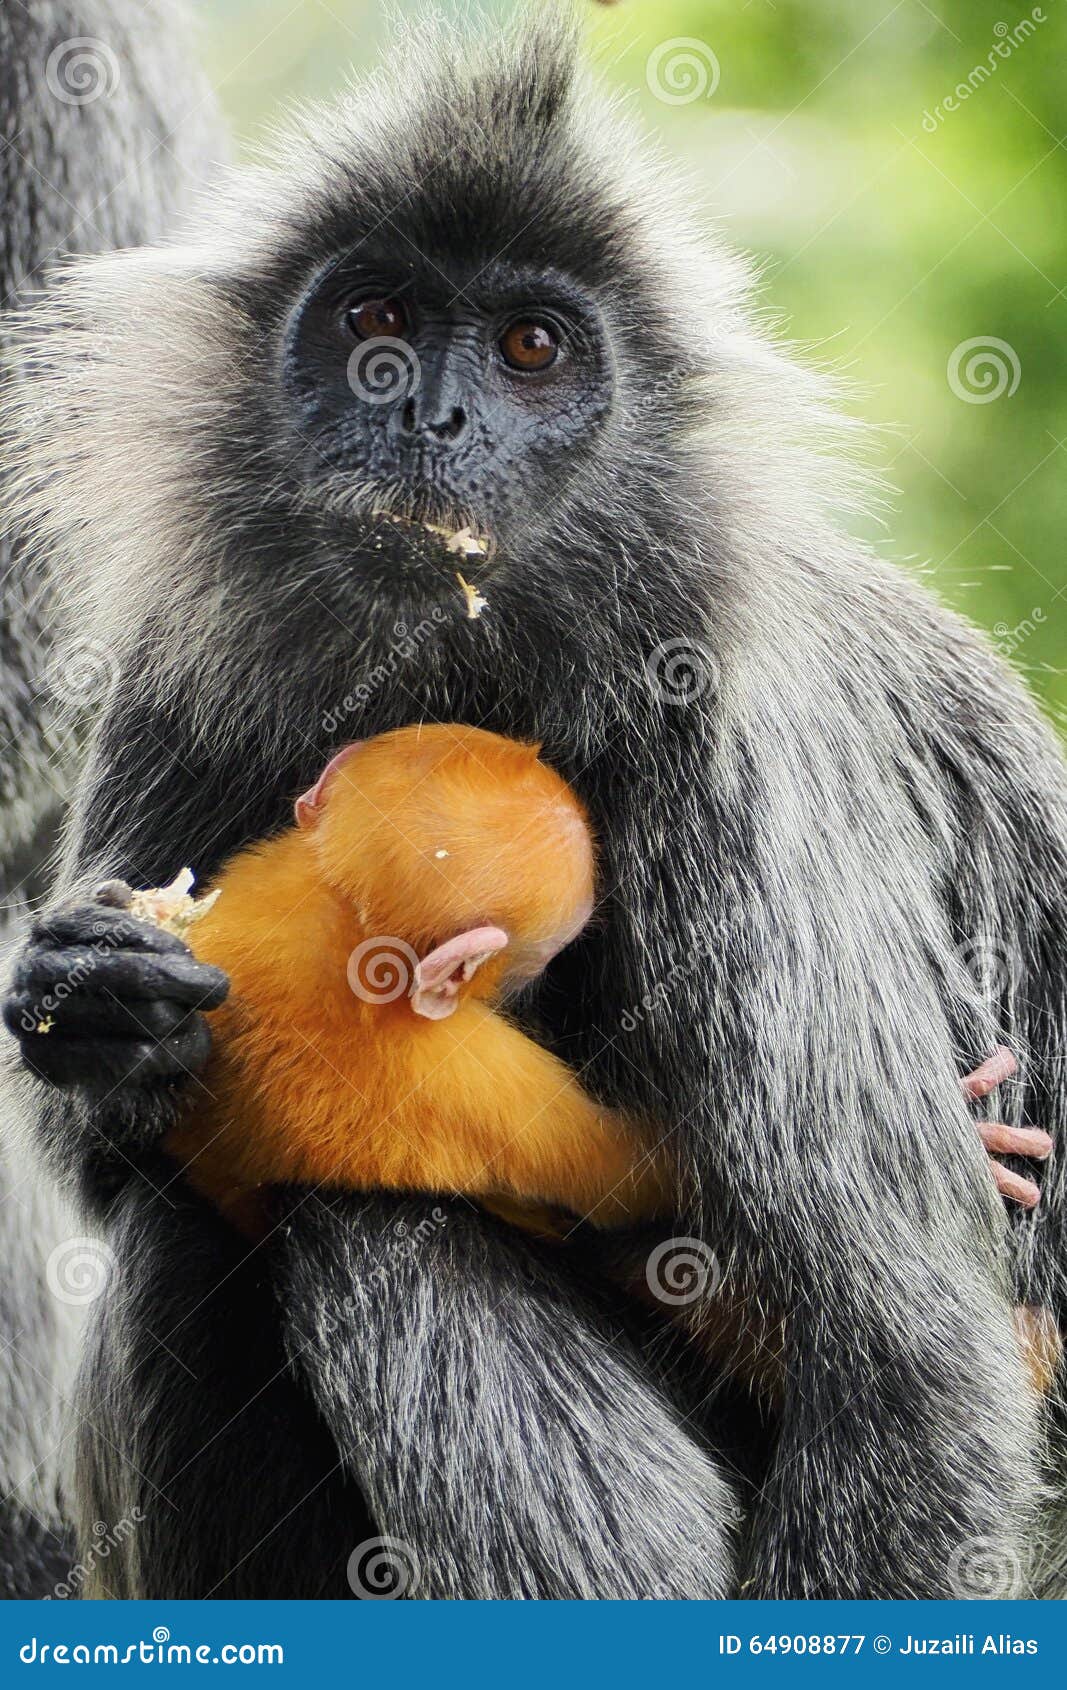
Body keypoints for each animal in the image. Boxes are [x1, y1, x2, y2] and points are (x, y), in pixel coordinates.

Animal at [2, 8, 1066, 1599]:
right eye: (372, 322)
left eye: (528, 348)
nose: (429, 414)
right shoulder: (182, 671)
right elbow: (100, 1156)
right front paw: (92, 994)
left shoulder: (734, 745)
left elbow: (901, 1359)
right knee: (174, 1242)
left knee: (367, 1242)